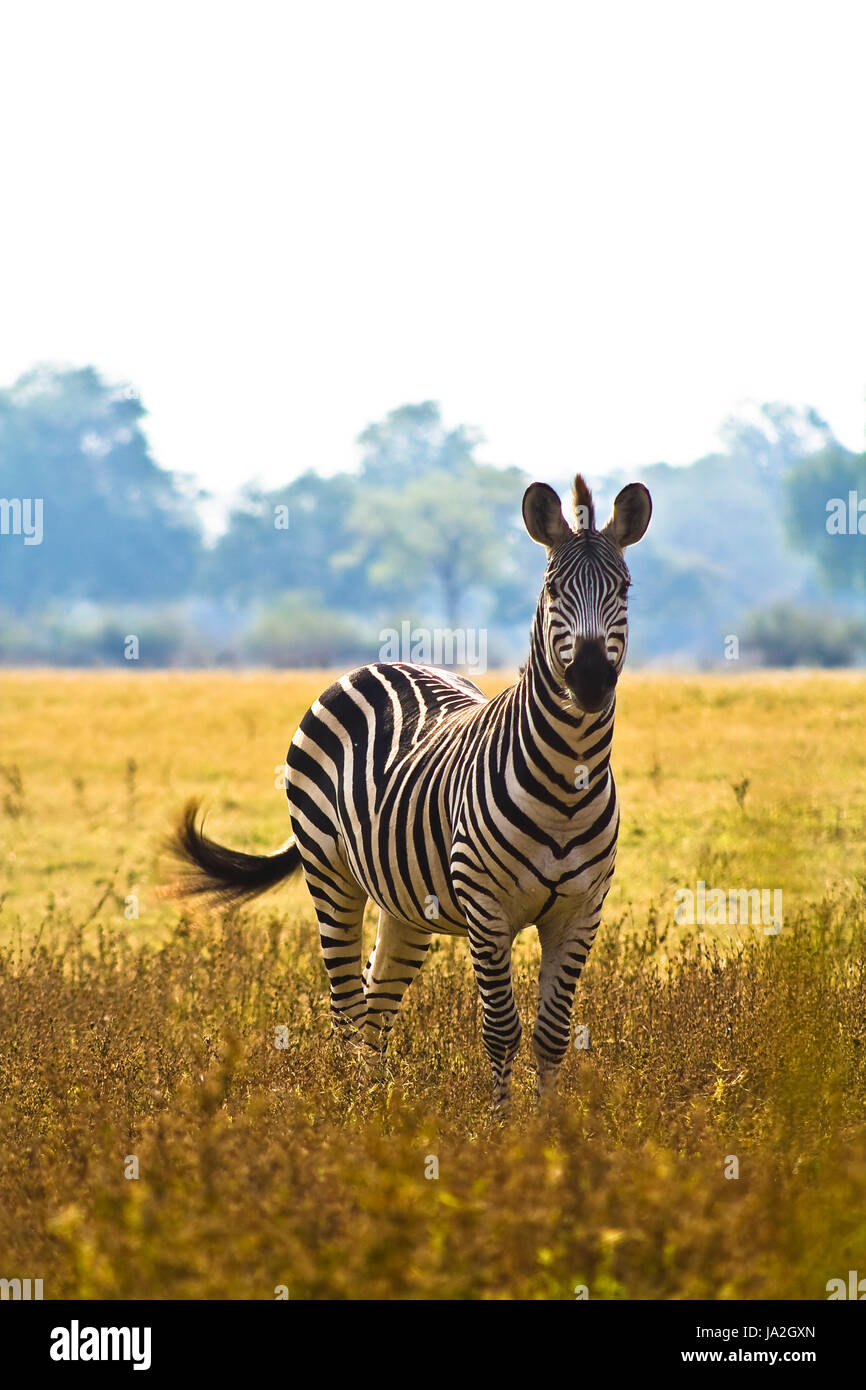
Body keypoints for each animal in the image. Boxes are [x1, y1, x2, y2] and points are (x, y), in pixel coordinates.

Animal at [168, 473, 651, 1107]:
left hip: (406, 903)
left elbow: (552, 1033)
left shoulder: (581, 911)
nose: (591, 681)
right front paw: (502, 1125)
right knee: (347, 1007)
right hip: (331, 874)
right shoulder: (486, 908)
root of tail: (382, 663)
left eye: (623, 588)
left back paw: (378, 1108)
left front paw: (549, 1127)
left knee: (376, 1007)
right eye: (551, 590)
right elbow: (501, 1028)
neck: (567, 785)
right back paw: (351, 1110)